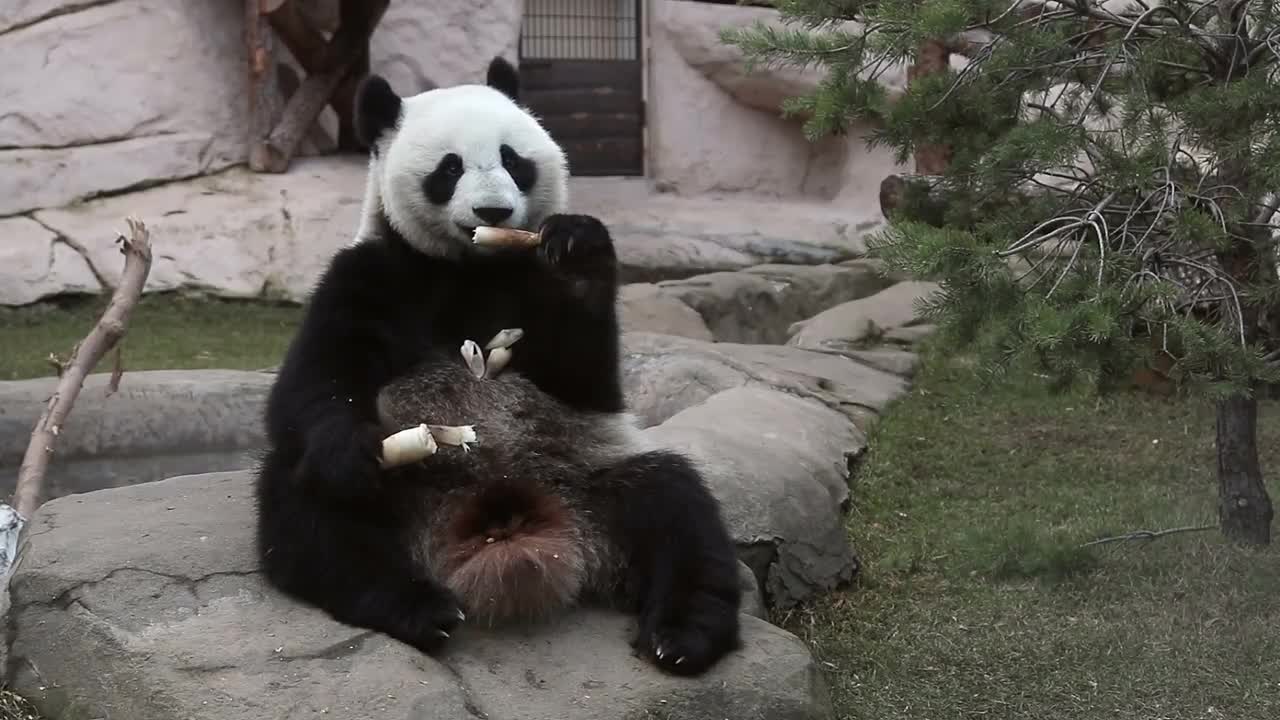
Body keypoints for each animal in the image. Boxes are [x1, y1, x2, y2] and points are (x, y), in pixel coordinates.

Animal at [253, 56, 744, 677]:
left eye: (514, 160)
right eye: (450, 167)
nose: (494, 211)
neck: (473, 266)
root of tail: (500, 519)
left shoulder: (527, 282)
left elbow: (584, 379)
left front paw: (578, 250)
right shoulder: (373, 273)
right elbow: (311, 384)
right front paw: (355, 448)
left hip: (588, 471)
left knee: (675, 506)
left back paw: (682, 635)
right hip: (400, 493)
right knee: (315, 516)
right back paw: (417, 607)